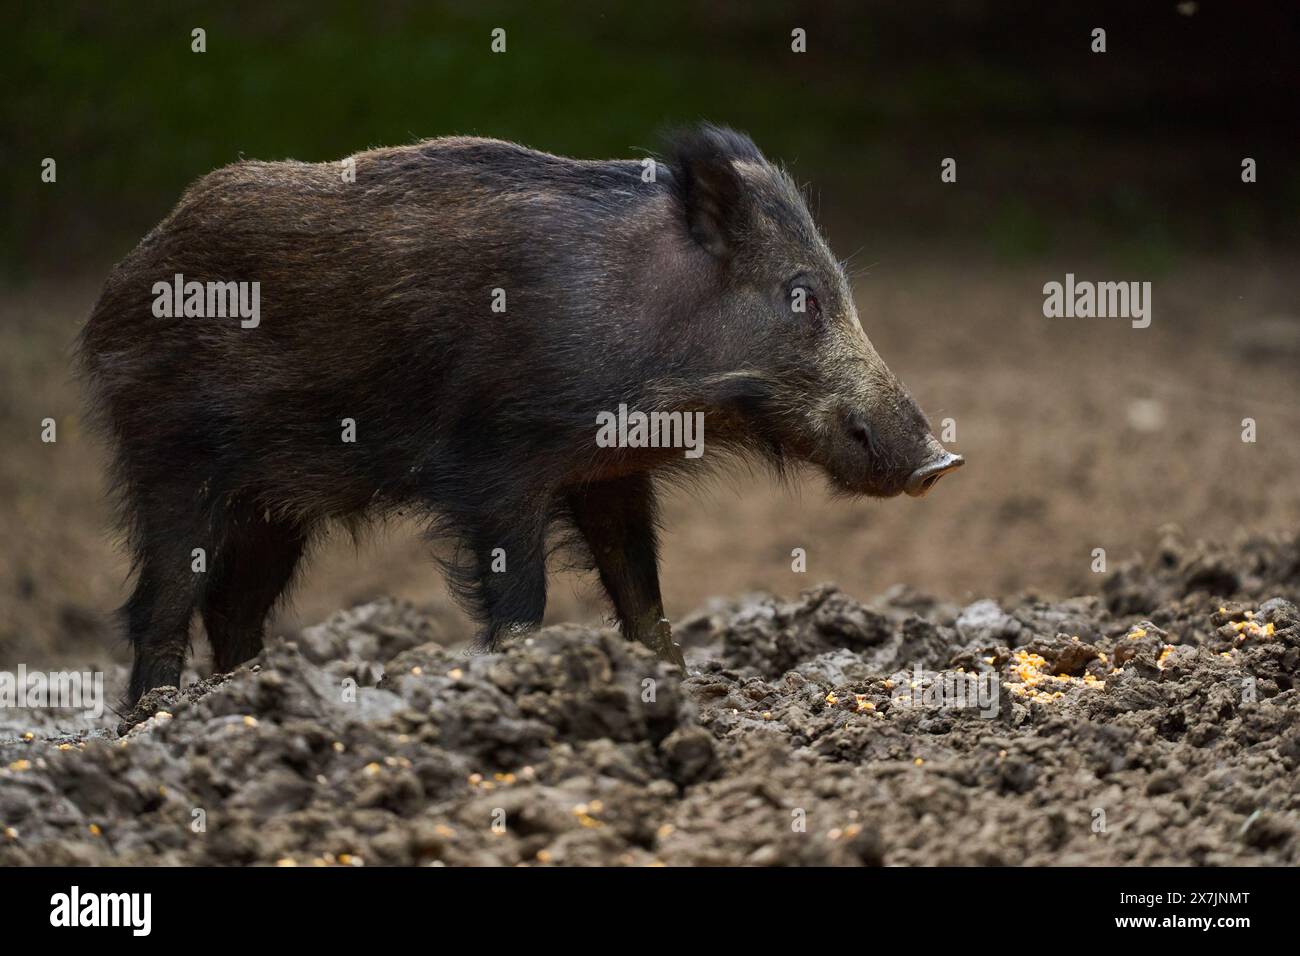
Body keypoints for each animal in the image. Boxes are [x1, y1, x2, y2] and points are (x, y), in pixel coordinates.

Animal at [77, 124, 963, 706]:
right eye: (800, 294)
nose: (938, 462)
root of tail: (122, 280)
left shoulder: (609, 472)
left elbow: (642, 592)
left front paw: (676, 688)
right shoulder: (493, 467)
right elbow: (521, 603)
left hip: (276, 506)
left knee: (232, 608)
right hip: (171, 455)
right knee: (161, 600)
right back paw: (153, 720)